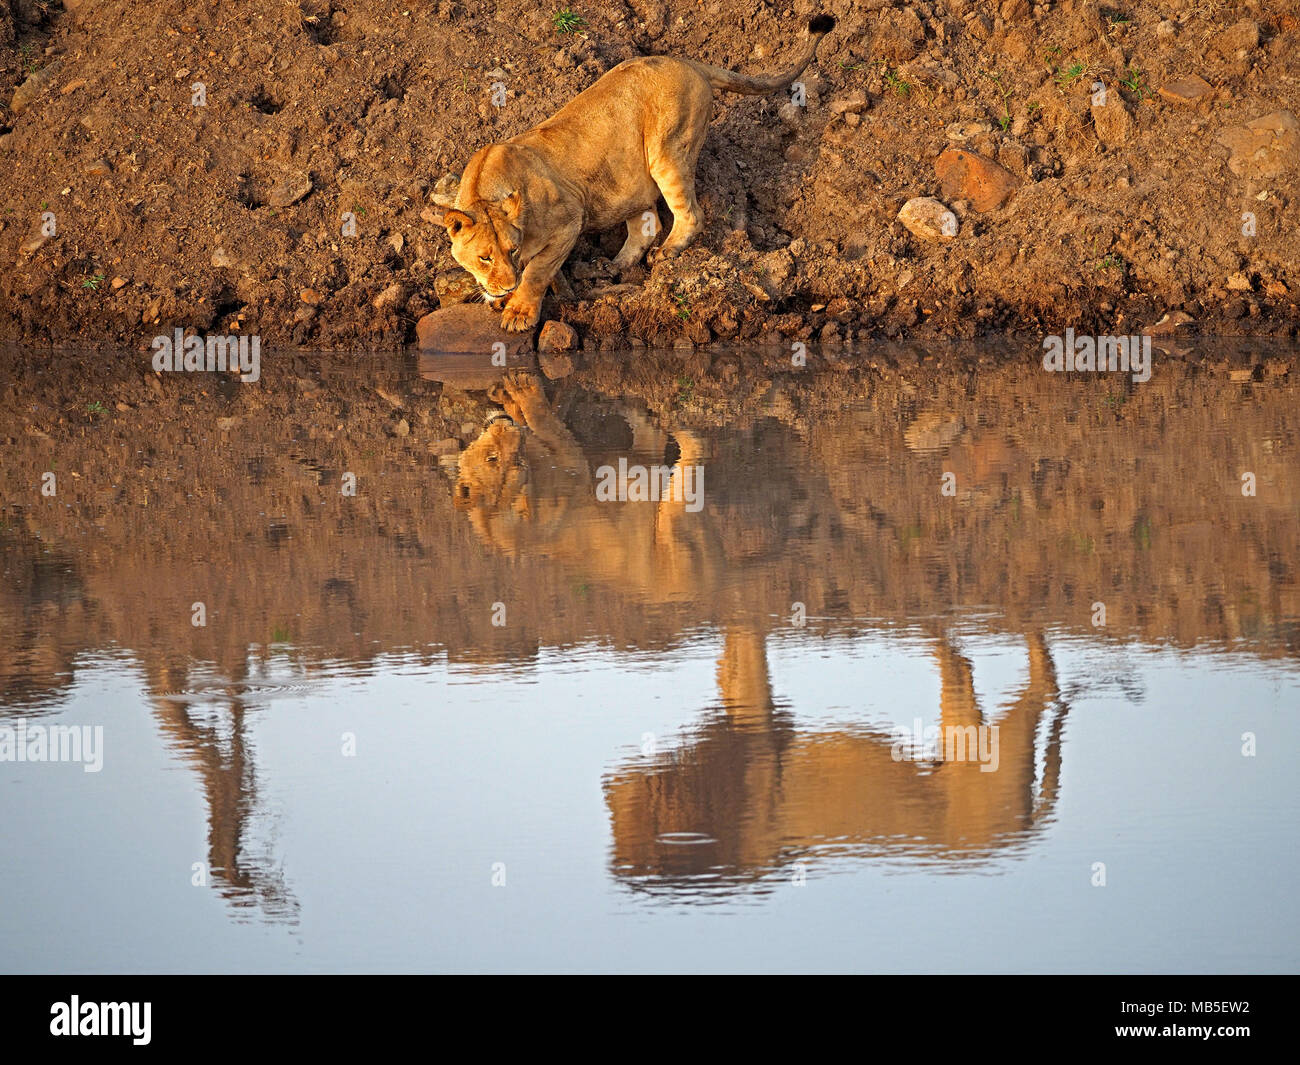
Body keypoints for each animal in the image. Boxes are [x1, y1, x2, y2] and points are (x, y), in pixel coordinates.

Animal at [434, 15, 836, 331]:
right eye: (485, 256)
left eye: (512, 249)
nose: (504, 286)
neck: (485, 188)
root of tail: (687, 61)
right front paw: (503, 297)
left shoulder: (569, 221)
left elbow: (537, 274)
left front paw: (518, 310)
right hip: (628, 181)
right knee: (647, 225)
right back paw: (612, 267)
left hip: (668, 150)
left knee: (690, 214)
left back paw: (666, 253)